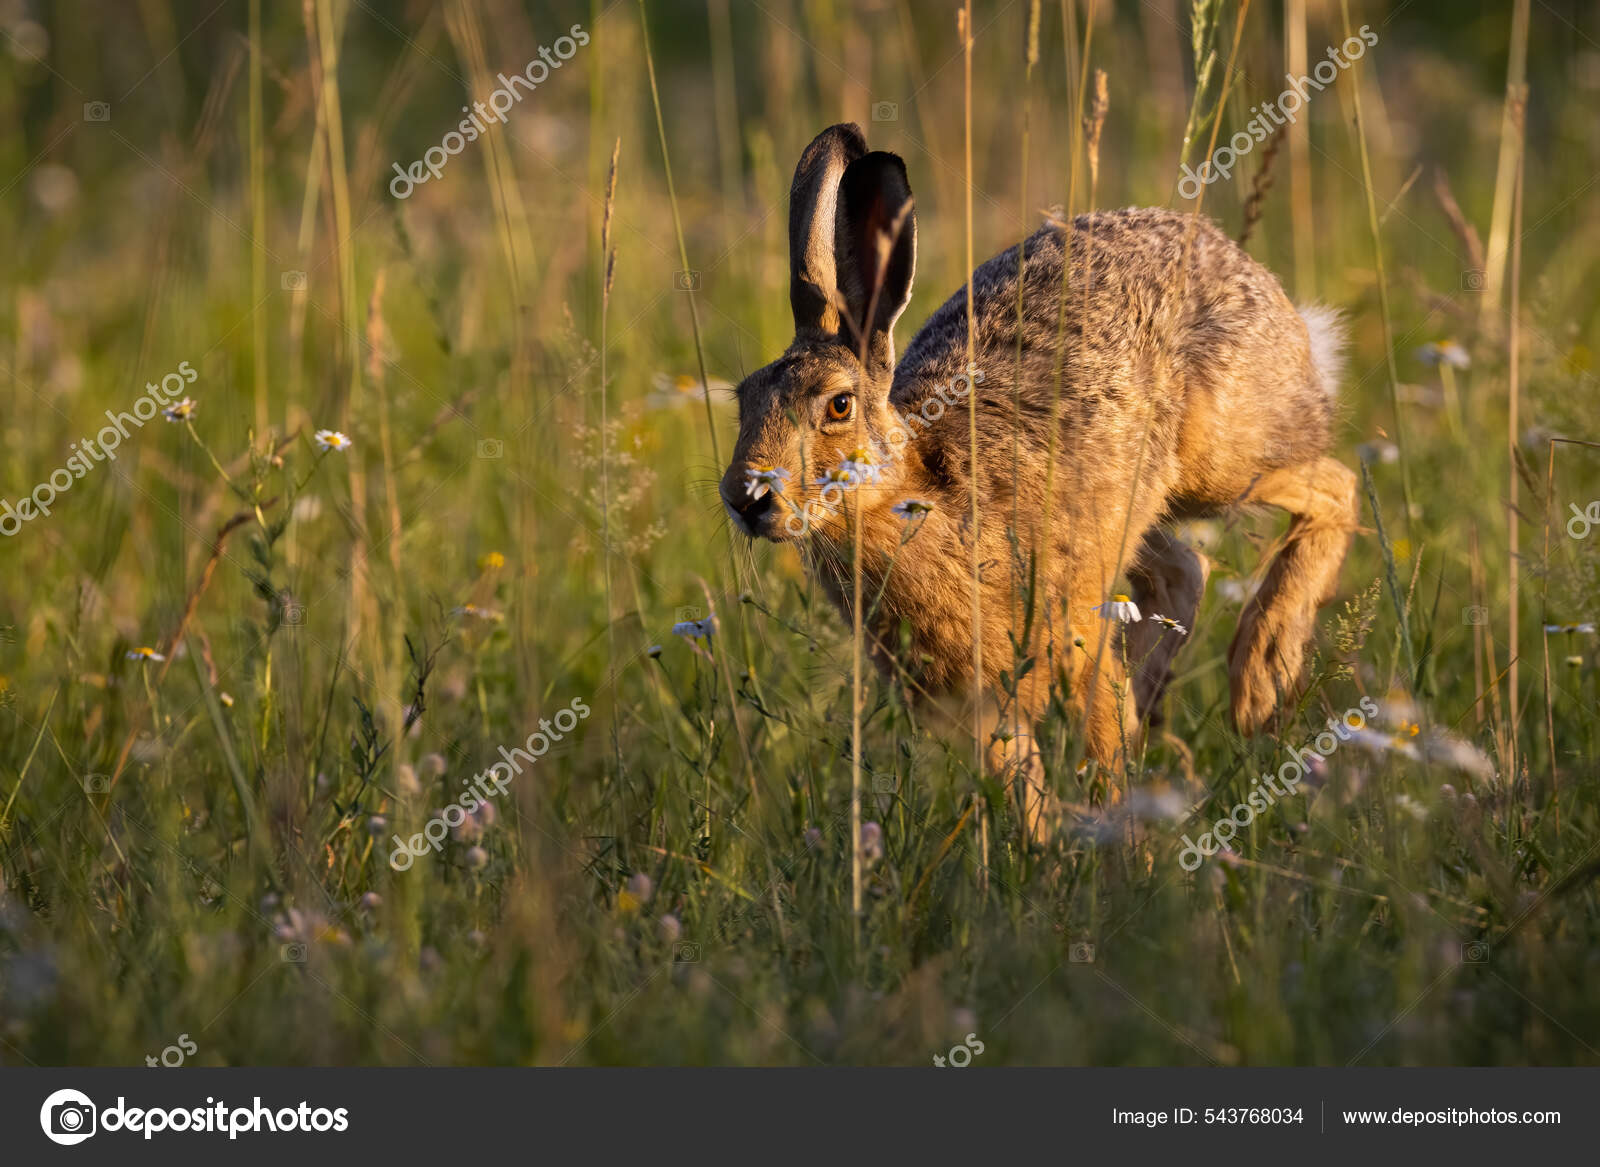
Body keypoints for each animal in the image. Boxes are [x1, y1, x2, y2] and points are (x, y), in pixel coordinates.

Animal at [718, 123, 1358, 836]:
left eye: (837, 405)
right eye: (744, 400)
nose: (746, 497)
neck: (916, 495)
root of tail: (1241, 264)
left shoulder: (1076, 643)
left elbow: (1103, 750)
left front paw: (1121, 847)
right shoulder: (980, 708)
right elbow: (1022, 793)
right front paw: (1046, 850)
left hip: (1221, 462)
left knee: (1335, 485)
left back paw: (1260, 677)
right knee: (1186, 569)